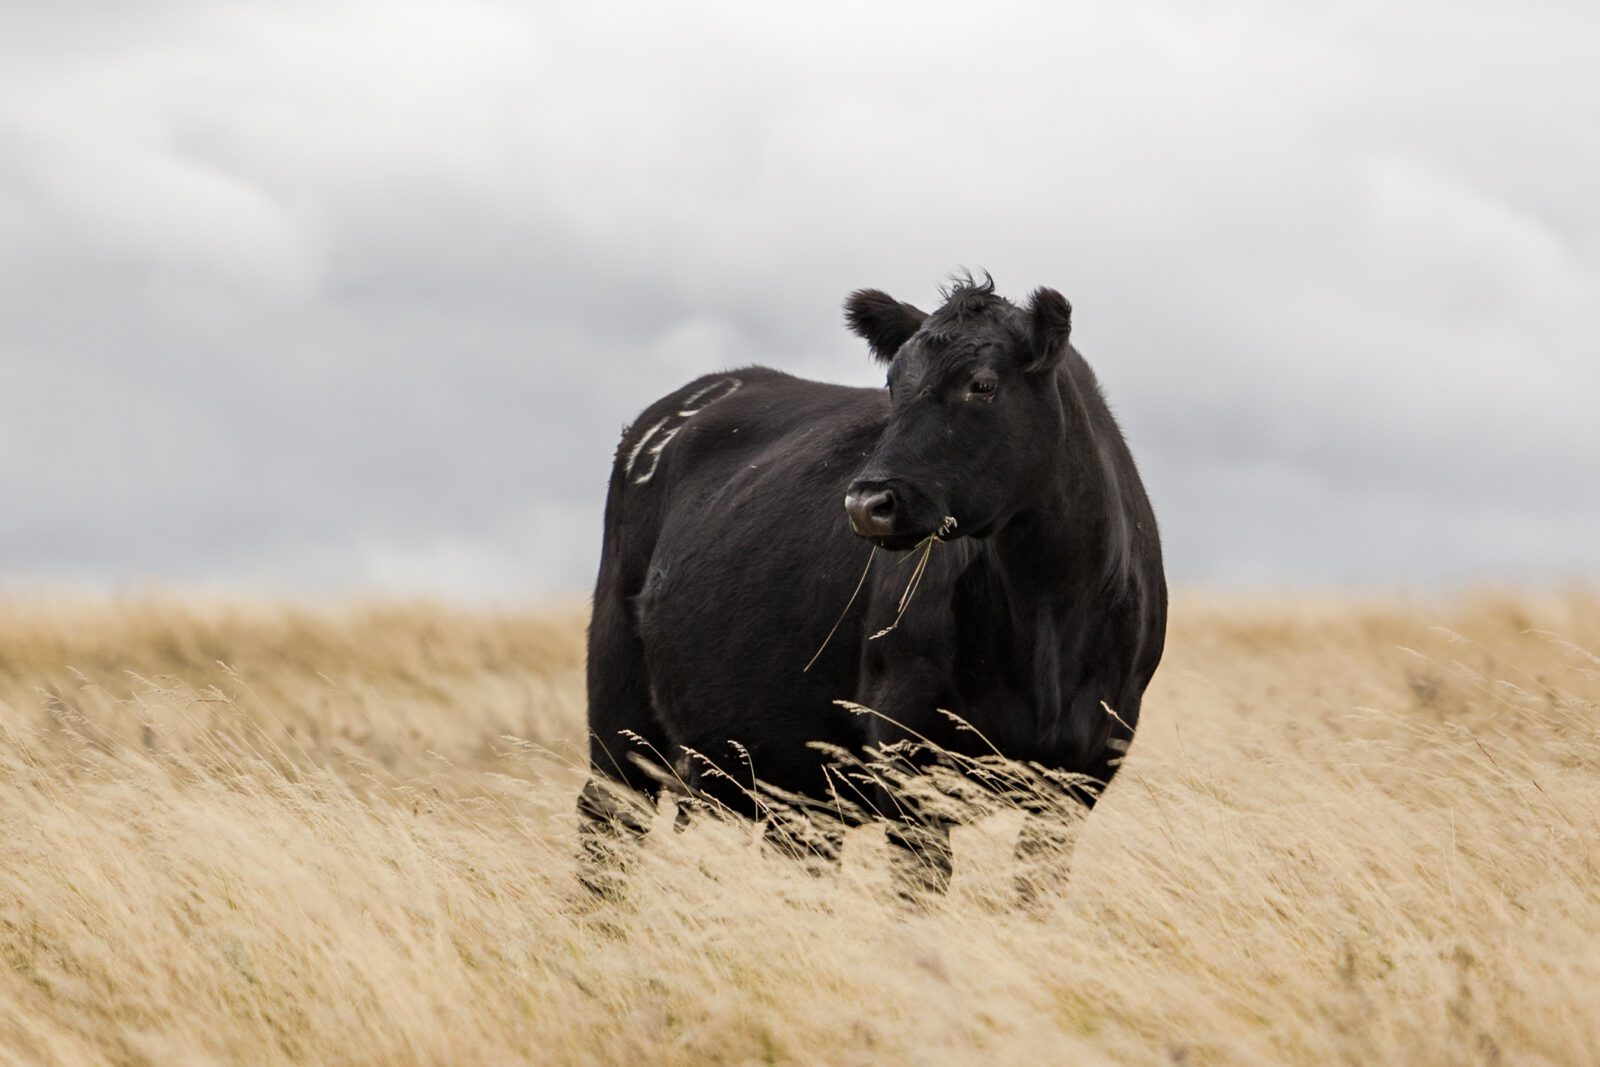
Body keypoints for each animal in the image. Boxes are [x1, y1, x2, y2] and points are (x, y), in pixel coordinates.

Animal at [578, 273, 1166, 896]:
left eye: (983, 385)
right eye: (891, 385)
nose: (868, 503)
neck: (1047, 614)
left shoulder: (1080, 774)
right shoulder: (908, 758)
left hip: (797, 776)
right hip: (619, 717)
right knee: (606, 830)